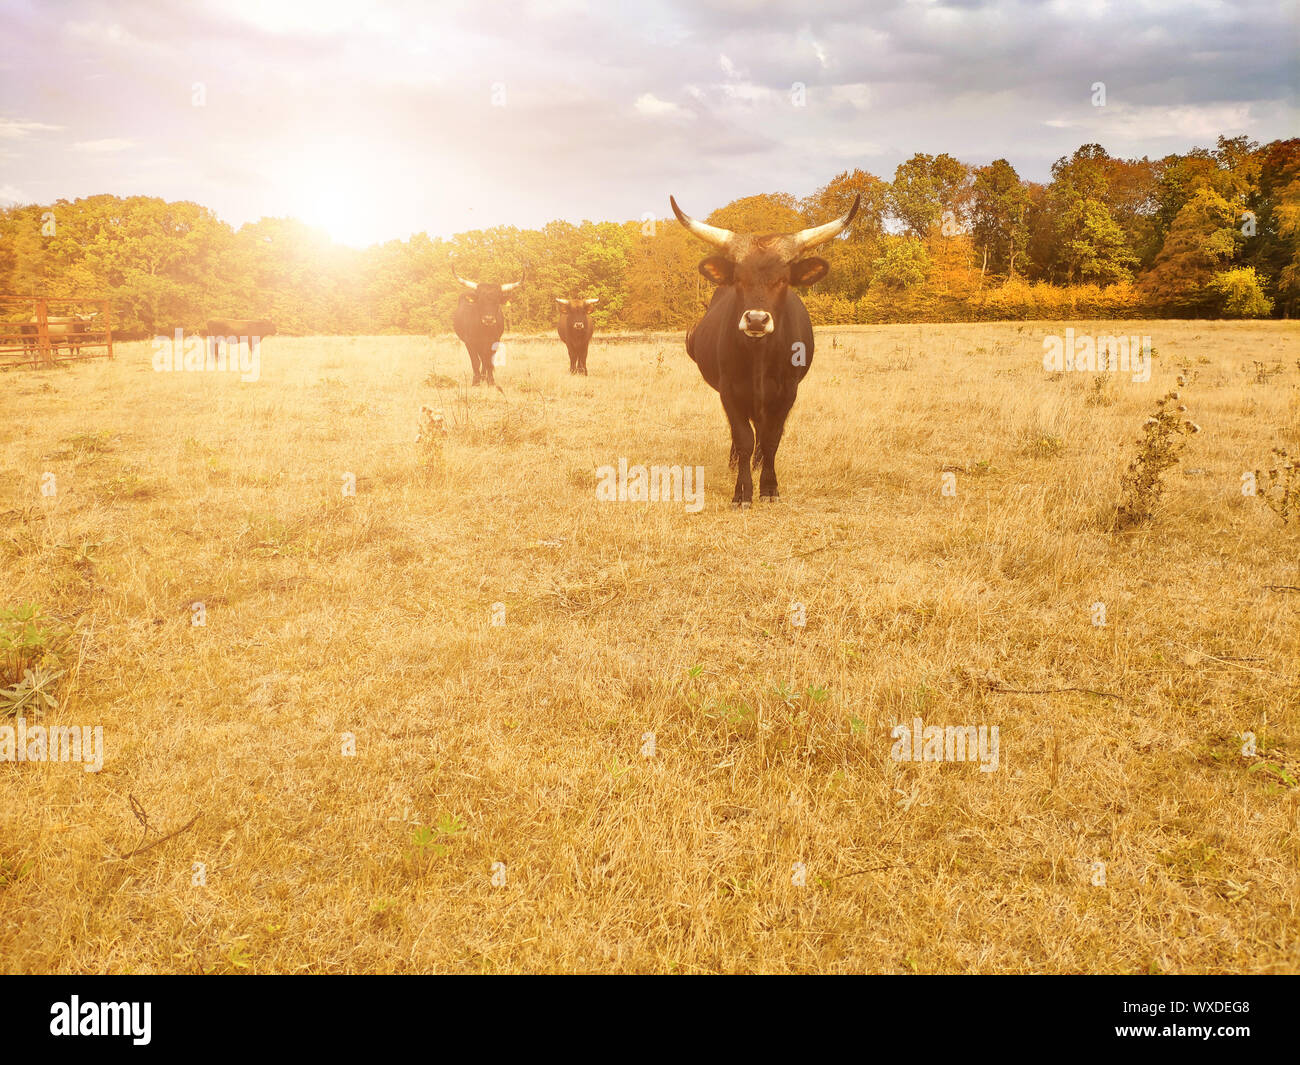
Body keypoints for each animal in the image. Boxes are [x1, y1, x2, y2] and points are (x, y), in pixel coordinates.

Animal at [671, 193, 860, 507]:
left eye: (782, 280)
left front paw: (769, 487)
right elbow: (743, 437)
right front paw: (742, 490)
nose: (757, 319)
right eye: (738, 279)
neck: (758, 358)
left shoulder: (787, 391)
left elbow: (772, 438)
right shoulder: (729, 391)